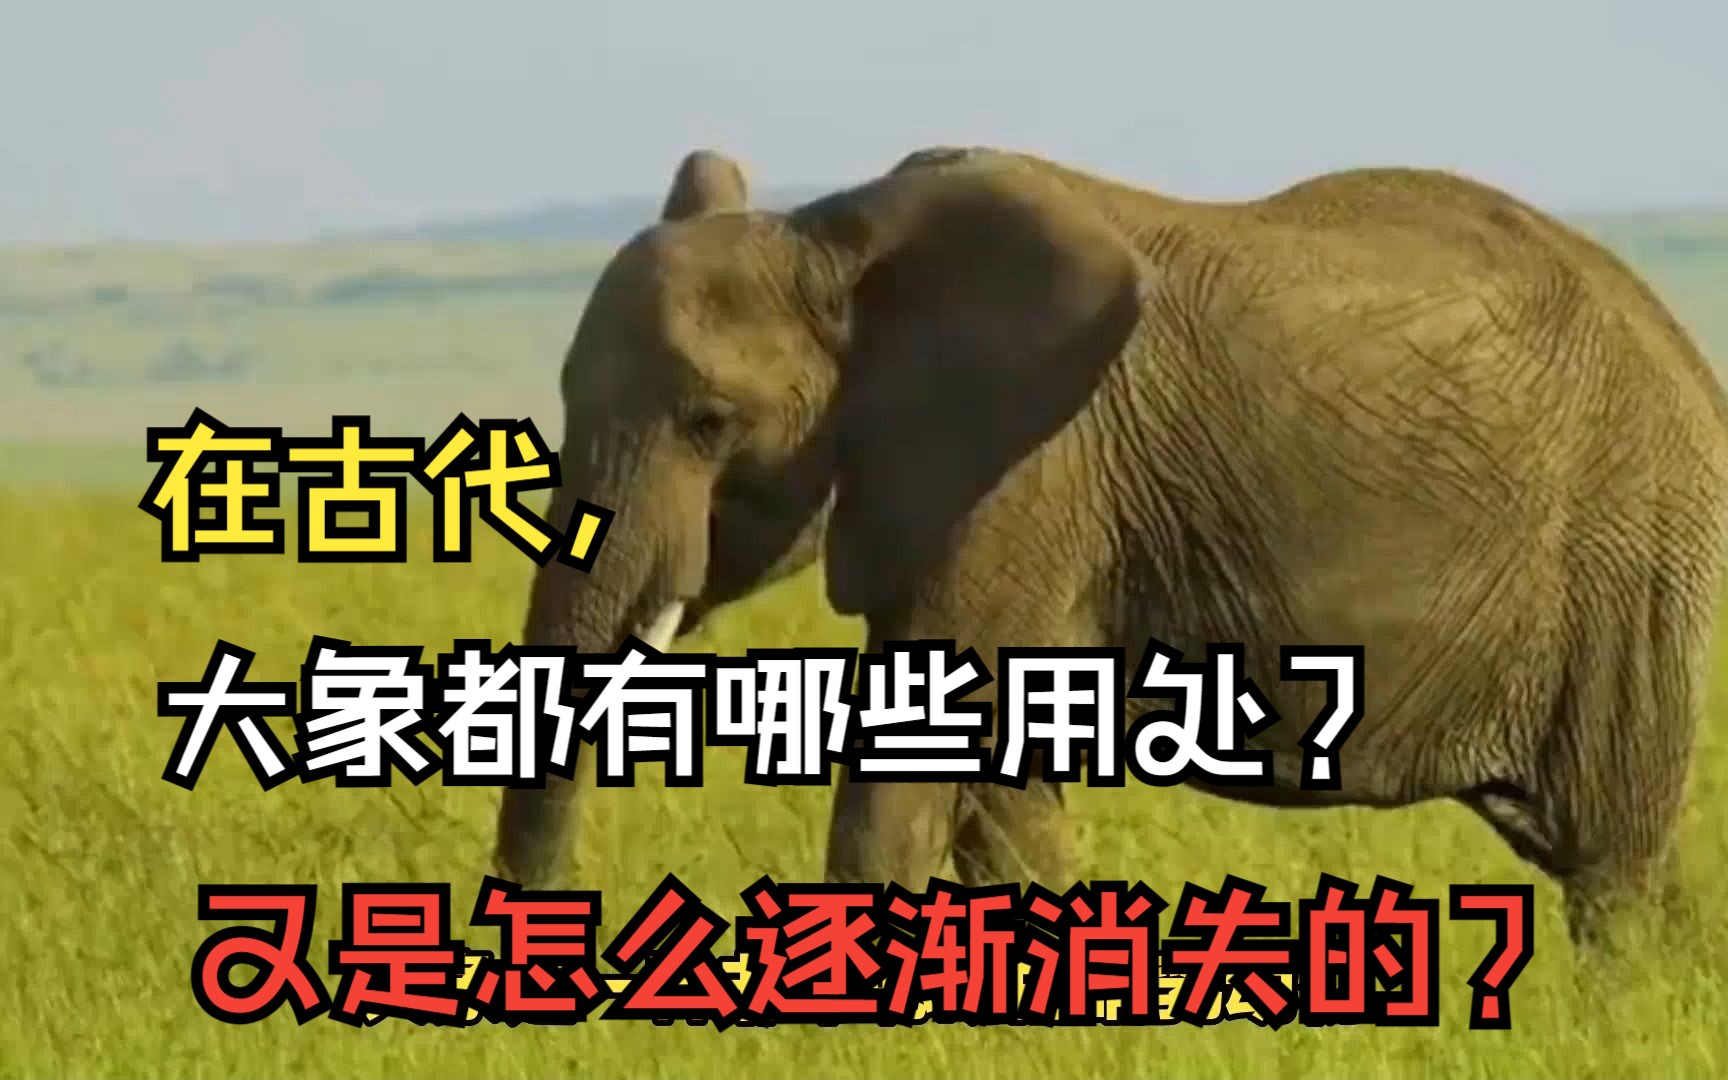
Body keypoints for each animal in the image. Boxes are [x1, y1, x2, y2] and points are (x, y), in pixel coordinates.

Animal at [494, 143, 1728, 952]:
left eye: (710, 424)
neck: (833, 245)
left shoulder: (1029, 476)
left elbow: (920, 762)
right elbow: (1005, 790)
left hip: (1630, 551)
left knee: (1610, 862)